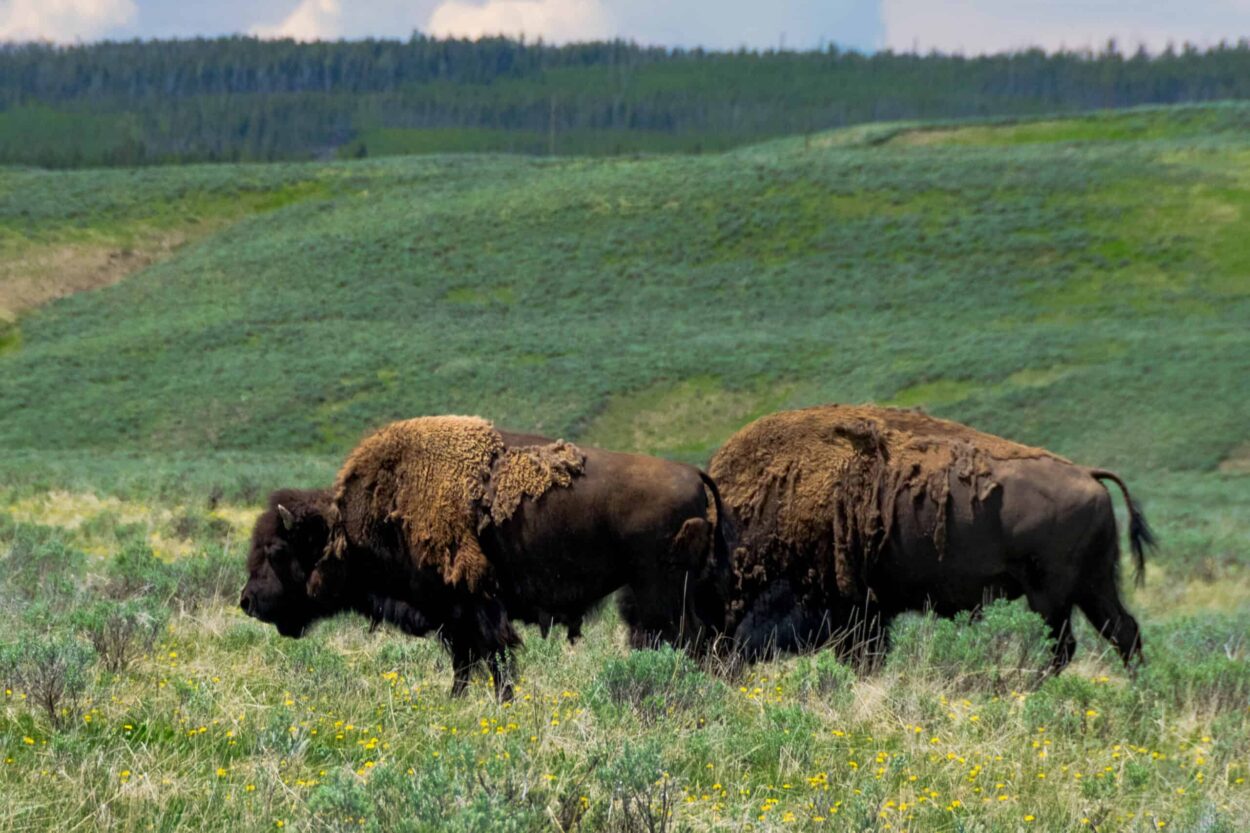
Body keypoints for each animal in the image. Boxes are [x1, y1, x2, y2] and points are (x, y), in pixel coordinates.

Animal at [707, 404, 1155, 672]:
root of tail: (1089, 475)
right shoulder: (868, 613)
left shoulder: (849, 609)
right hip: (1092, 586)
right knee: (1123, 632)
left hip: (1051, 595)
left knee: (1065, 645)